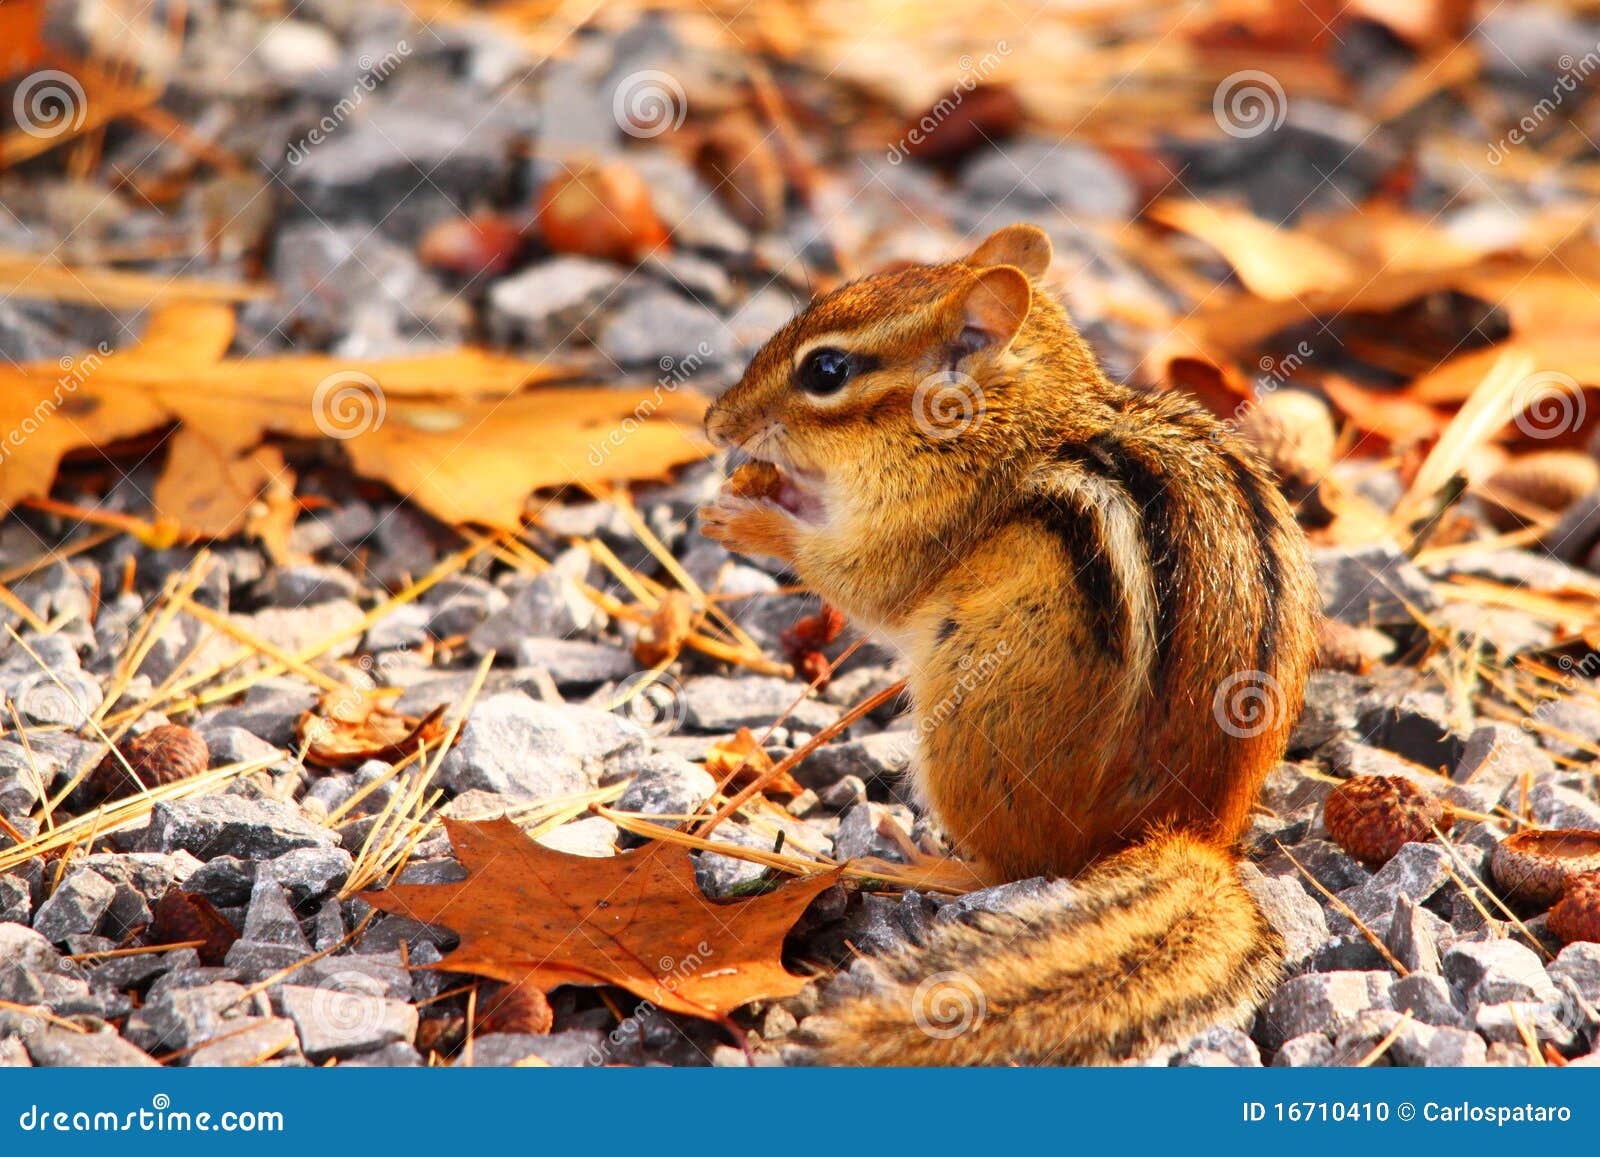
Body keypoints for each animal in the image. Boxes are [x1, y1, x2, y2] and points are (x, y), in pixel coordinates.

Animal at [698, 224, 1320, 1065]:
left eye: (825, 371)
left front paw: (753, 519)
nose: (714, 423)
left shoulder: (925, 527)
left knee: (1016, 867)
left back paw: (918, 859)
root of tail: (1192, 835)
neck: (1012, 418)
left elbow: (861, 582)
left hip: (967, 724)